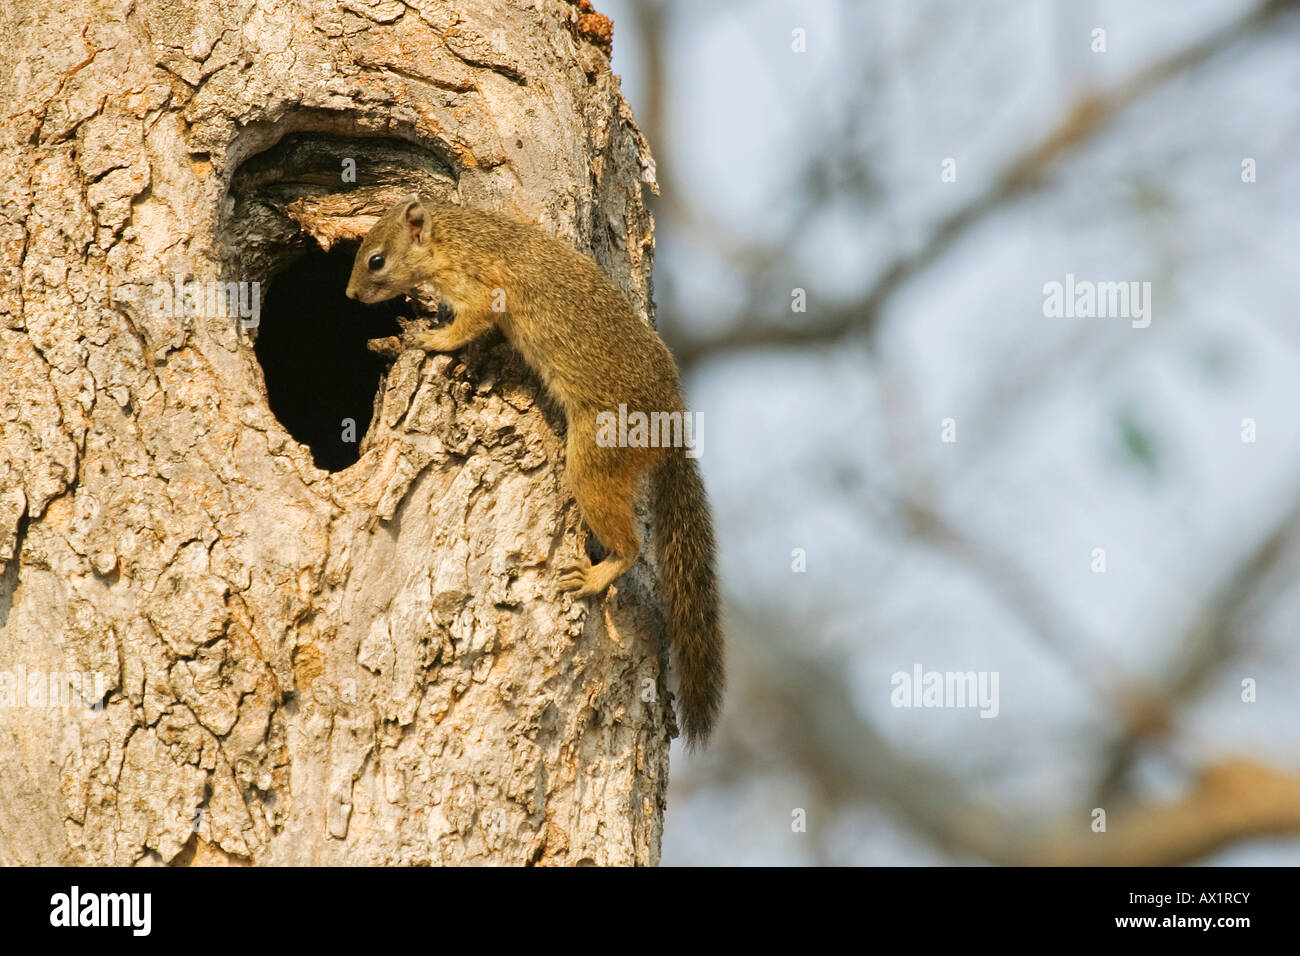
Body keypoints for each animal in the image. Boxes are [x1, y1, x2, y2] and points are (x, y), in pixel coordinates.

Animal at [345, 195, 723, 746]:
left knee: (628, 545)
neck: (459, 237)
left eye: (376, 260)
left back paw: (596, 574)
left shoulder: (480, 284)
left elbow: (471, 321)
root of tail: (670, 428)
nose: (350, 294)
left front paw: (429, 339)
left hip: (596, 456)